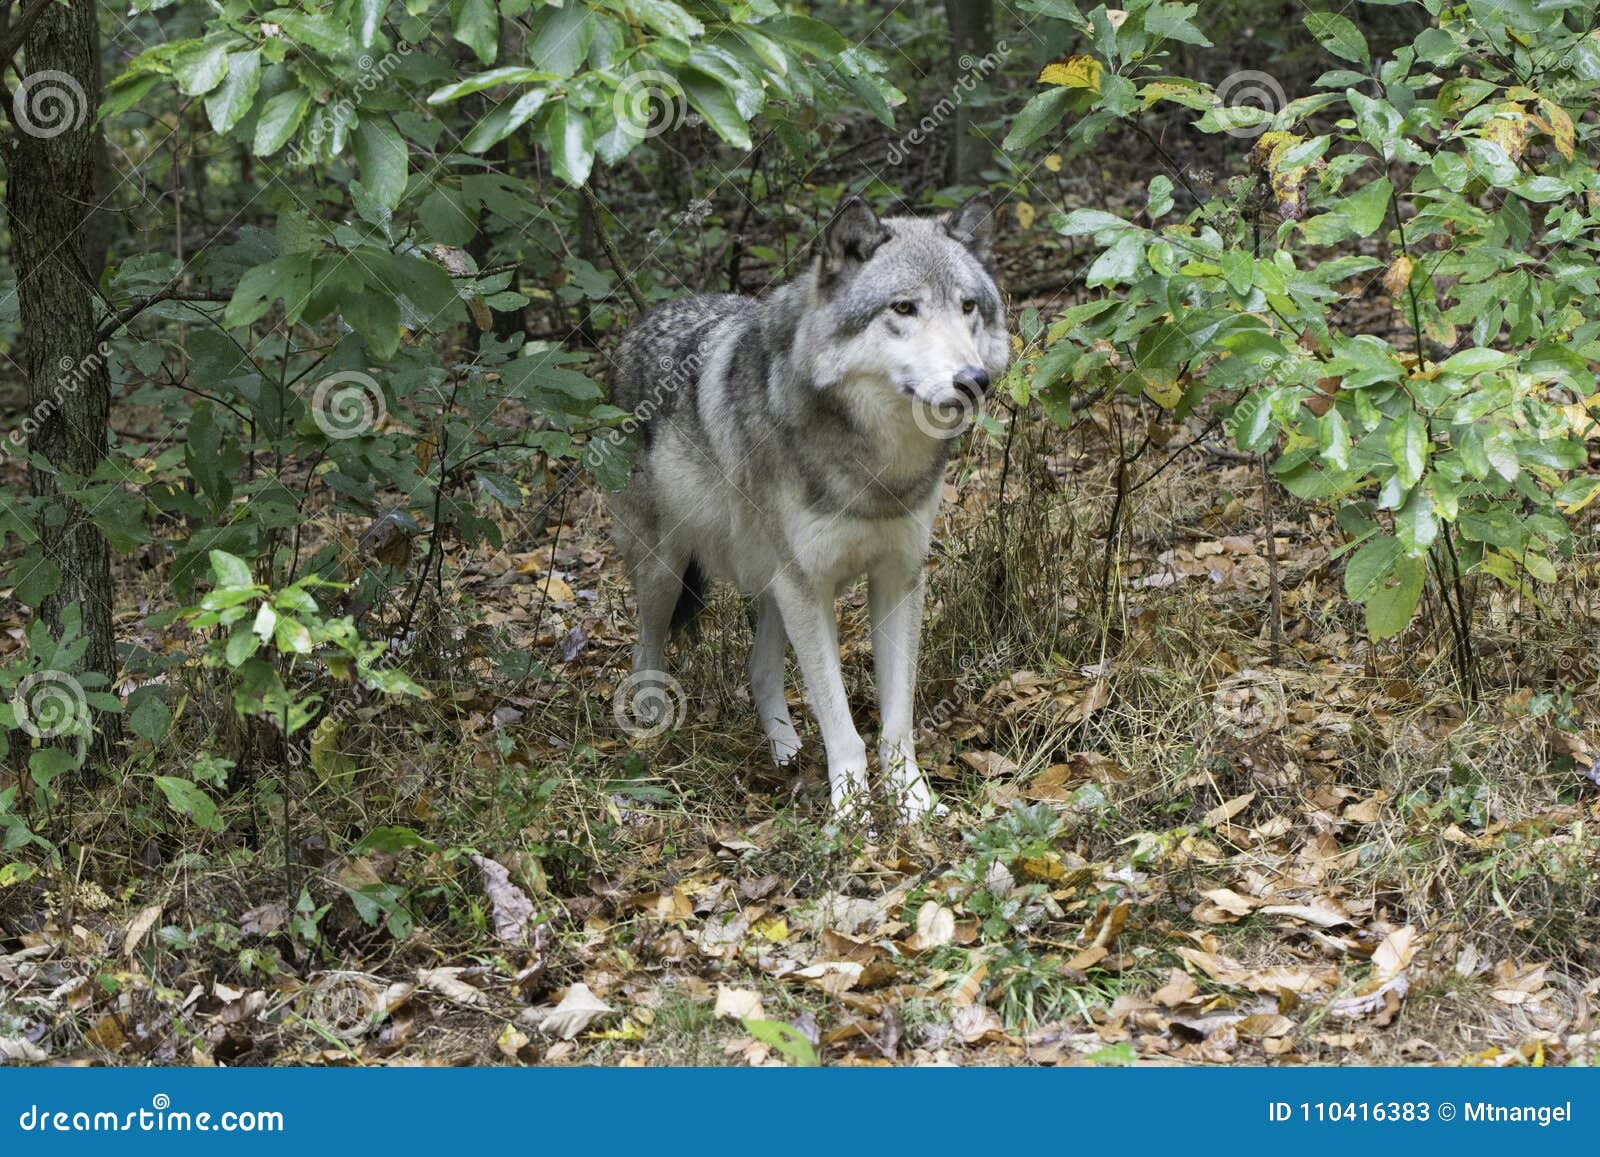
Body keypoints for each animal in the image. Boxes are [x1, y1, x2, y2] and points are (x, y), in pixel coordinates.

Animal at [607, 194, 1009, 820]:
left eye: (968, 307)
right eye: (904, 308)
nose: (975, 380)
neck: (876, 465)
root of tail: (641, 323)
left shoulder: (898, 577)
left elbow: (897, 722)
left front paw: (913, 802)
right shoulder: (808, 585)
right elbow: (841, 722)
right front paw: (852, 816)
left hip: (772, 582)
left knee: (759, 670)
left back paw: (786, 752)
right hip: (668, 571)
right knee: (646, 650)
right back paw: (651, 728)